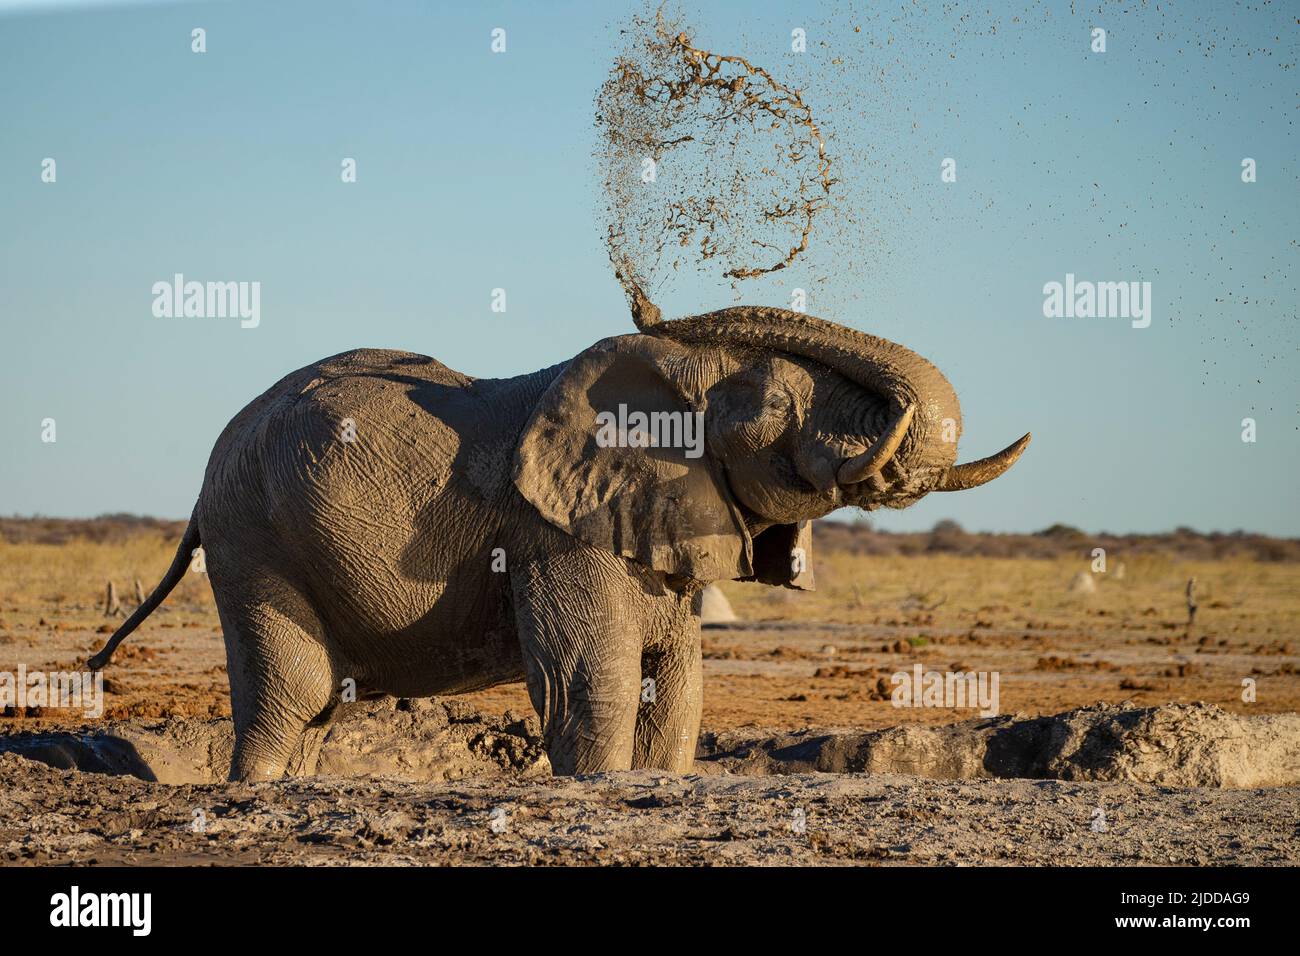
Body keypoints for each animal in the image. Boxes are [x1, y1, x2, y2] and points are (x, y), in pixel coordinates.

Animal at [89, 305, 1029, 780]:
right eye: (768, 407)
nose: (650, 298)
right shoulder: (550, 531)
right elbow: (593, 679)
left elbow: (676, 687)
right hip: (252, 533)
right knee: (297, 689)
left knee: (318, 706)